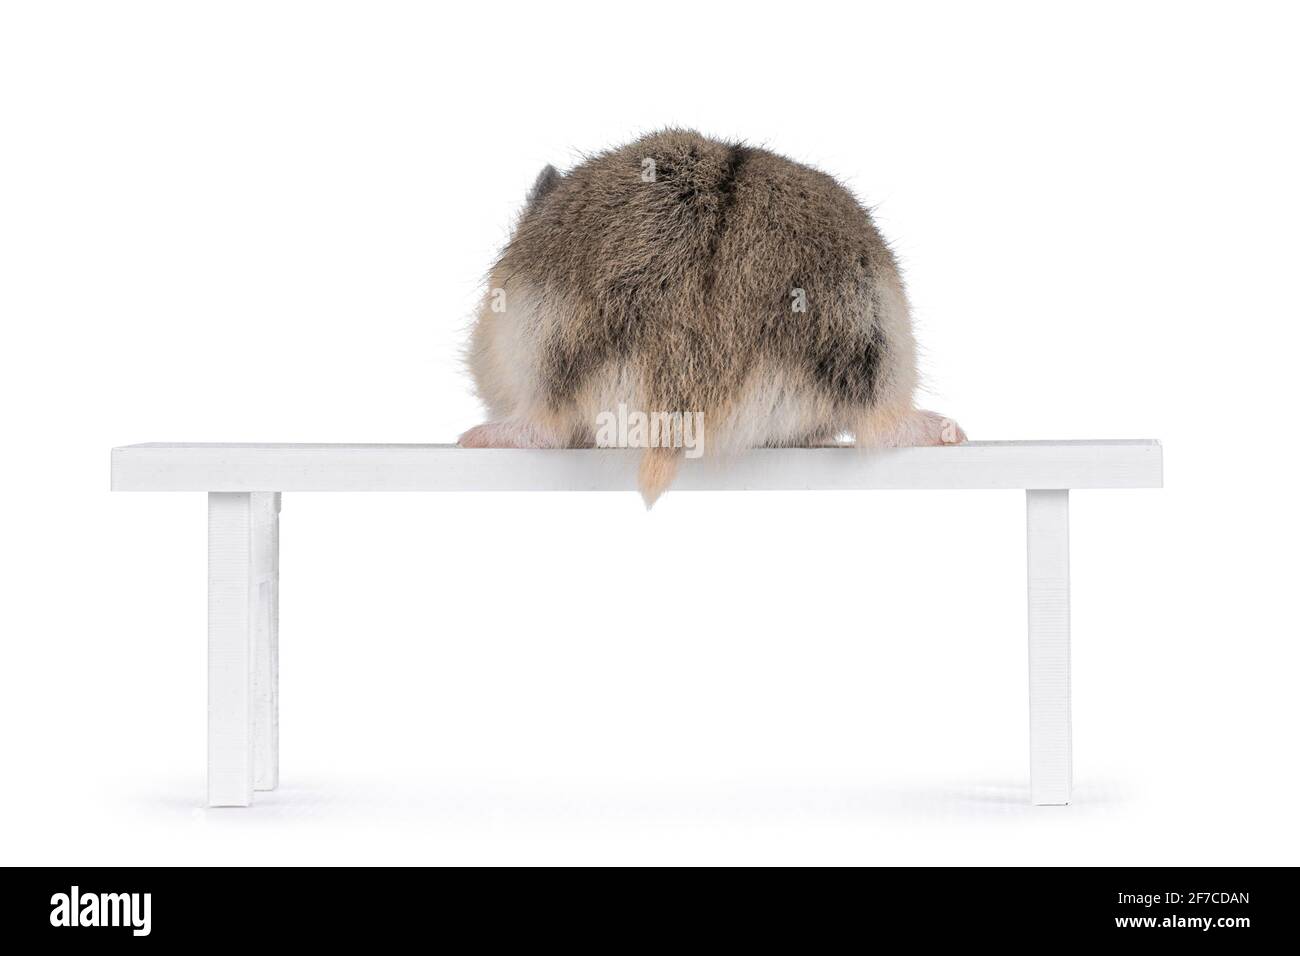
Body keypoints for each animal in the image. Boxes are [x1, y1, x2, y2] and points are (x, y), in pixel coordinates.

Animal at [460, 129, 965, 505]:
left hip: (535, 358)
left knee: (546, 426)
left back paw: (475, 437)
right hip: (873, 343)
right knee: (880, 421)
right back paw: (946, 431)